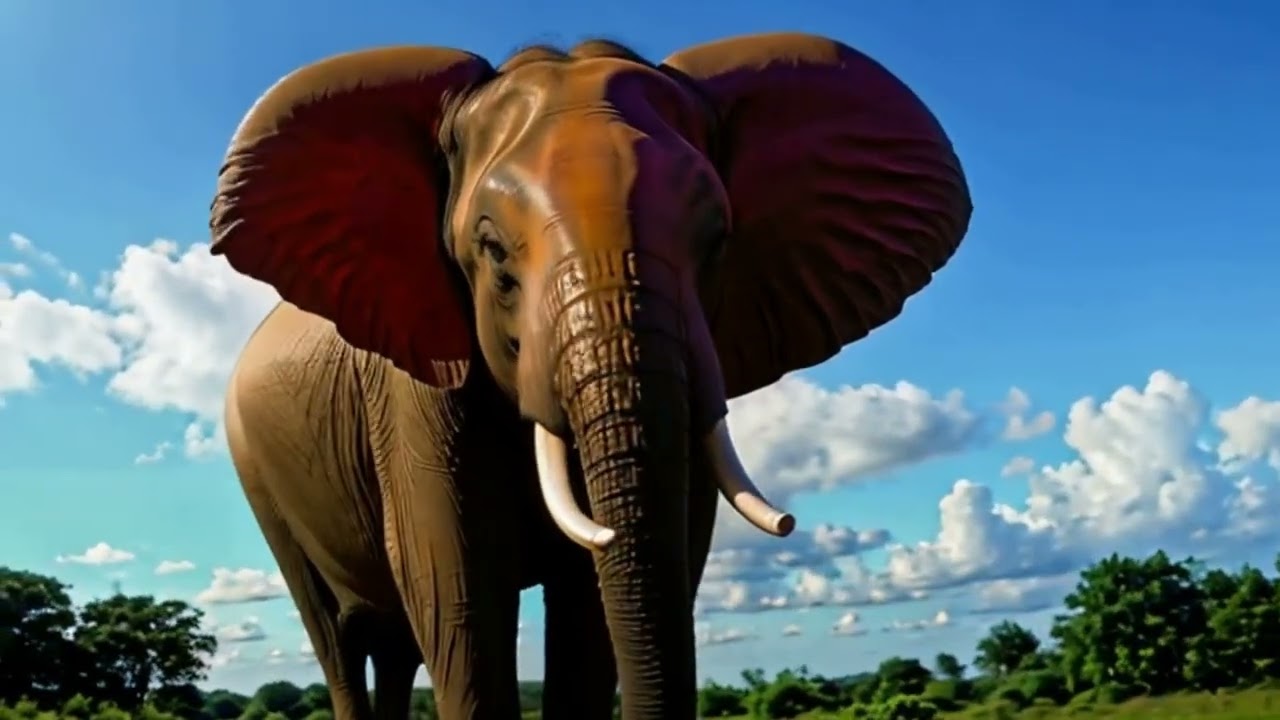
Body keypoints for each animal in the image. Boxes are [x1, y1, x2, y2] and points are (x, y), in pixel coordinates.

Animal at [211, 30, 971, 720]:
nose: (788, 522)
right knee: (341, 638)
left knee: (393, 647)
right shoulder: (413, 392)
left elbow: (591, 613)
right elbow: (456, 591)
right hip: (257, 474)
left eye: (717, 240)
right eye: (492, 251)